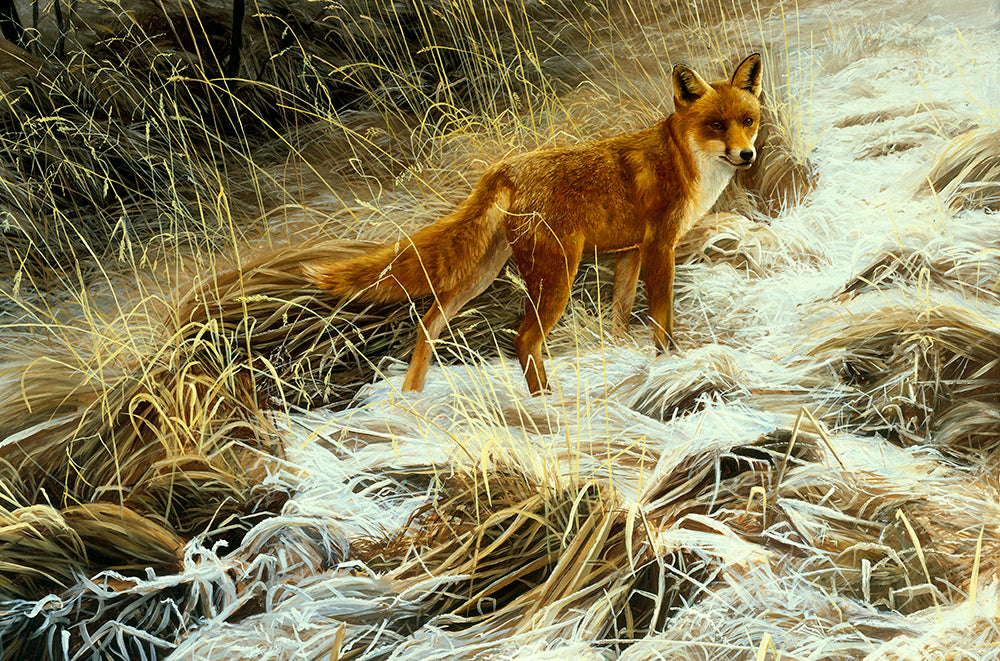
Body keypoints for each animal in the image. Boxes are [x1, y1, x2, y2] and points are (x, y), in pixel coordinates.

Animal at [307, 53, 763, 395]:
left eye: (748, 121)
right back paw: (546, 405)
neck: (684, 161)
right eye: (716, 125)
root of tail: (504, 168)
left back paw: (411, 398)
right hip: (556, 275)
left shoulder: (629, 253)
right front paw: (671, 363)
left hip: (483, 273)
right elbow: (662, 322)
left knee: (430, 323)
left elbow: (619, 318)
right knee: (523, 340)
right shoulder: (658, 249)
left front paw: (628, 362)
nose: (747, 156)